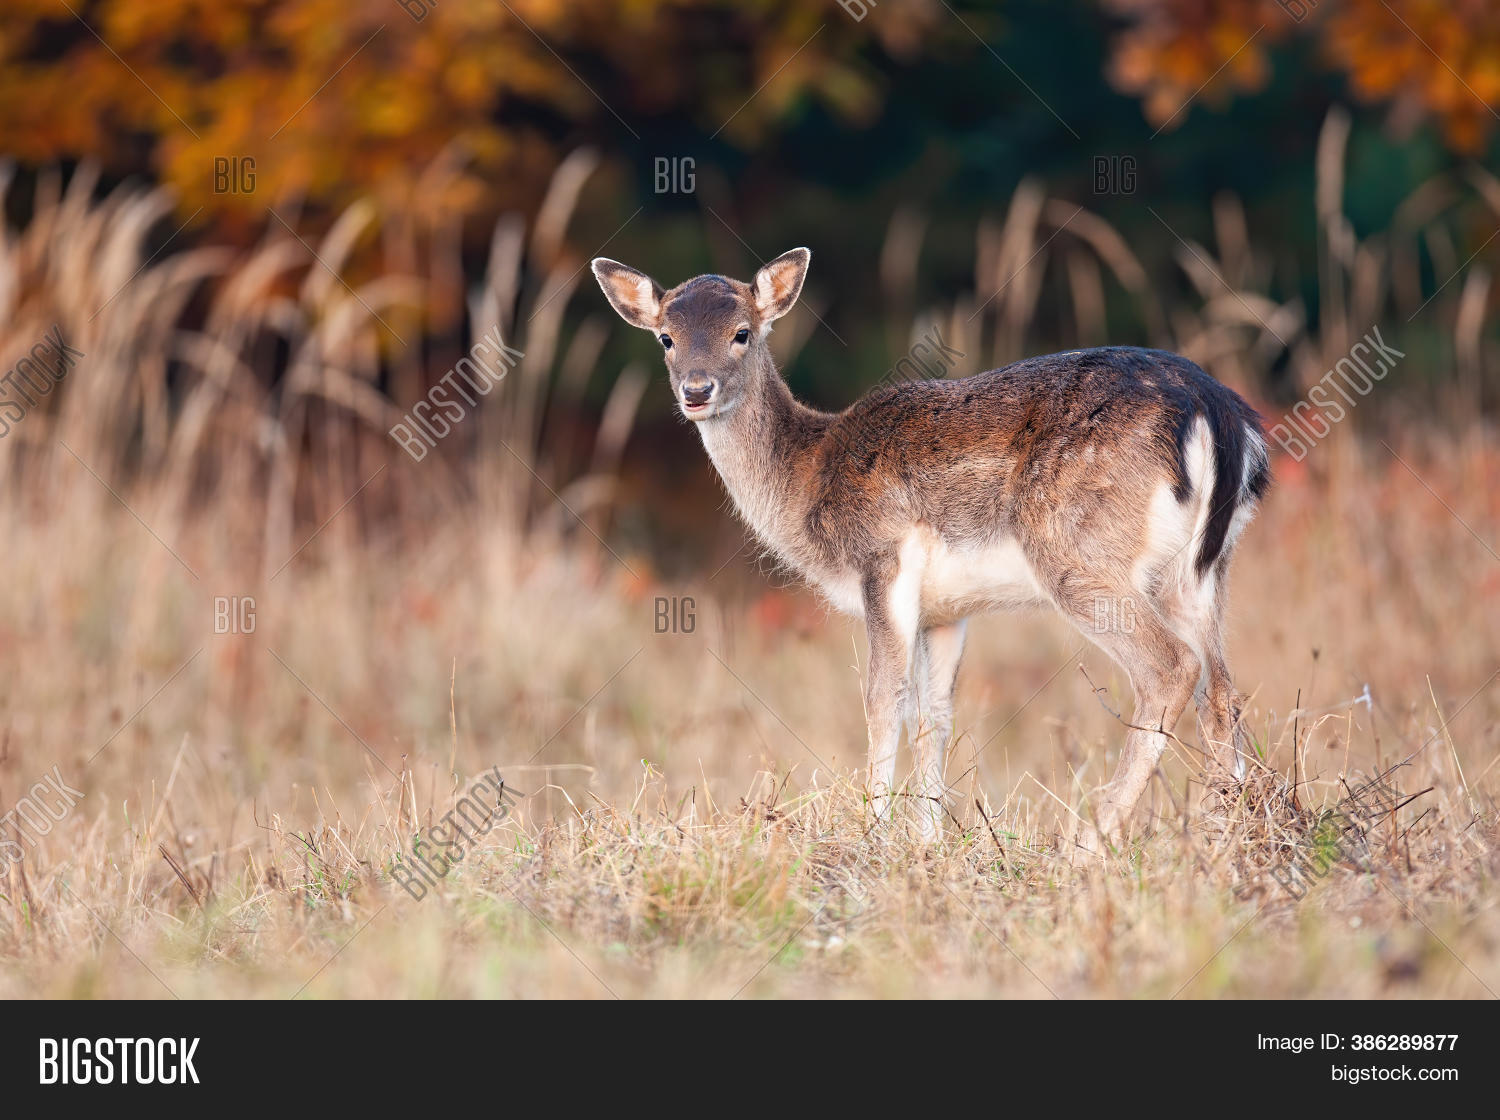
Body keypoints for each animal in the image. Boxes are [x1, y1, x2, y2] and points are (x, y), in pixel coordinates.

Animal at [592, 247, 1269, 856]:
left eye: (742, 332)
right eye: (666, 338)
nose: (696, 391)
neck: (809, 480)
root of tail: (1221, 417)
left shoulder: (882, 560)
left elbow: (881, 697)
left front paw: (875, 835)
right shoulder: (948, 611)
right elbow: (935, 714)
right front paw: (928, 840)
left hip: (1082, 555)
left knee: (1171, 668)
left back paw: (1091, 840)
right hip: (1203, 572)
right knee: (1223, 691)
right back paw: (1225, 839)